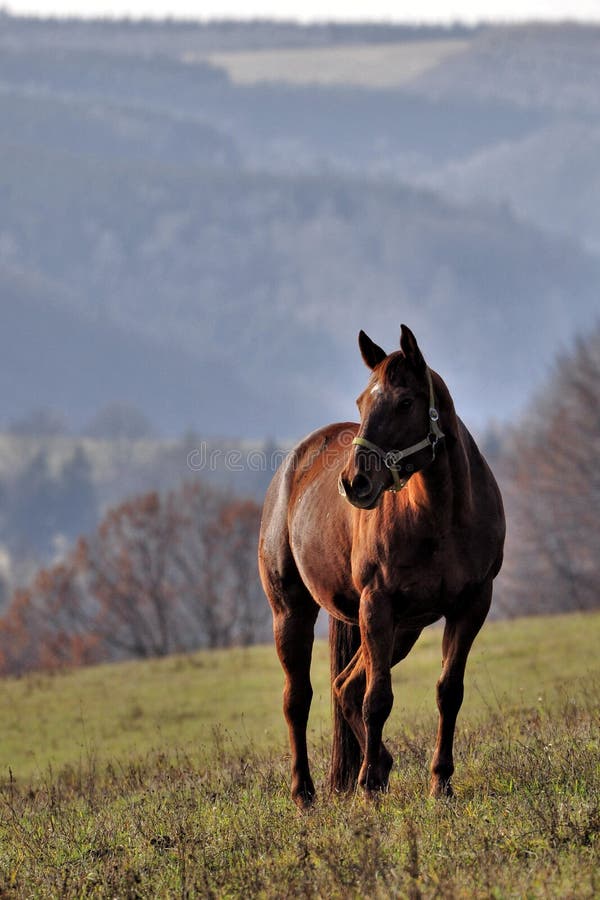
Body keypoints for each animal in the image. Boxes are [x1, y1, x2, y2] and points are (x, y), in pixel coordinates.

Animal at [258, 325, 505, 807]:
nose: (355, 483)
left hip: (405, 629)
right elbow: (379, 700)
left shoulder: (471, 606)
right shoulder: (377, 606)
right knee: (299, 698)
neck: (442, 517)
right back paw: (305, 792)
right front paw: (369, 785)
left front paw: (440, 782)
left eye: (405, 402)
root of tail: (292, 468)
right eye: (362, 402)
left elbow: (449, 692)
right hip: (293, 614)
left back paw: (379, 766)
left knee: (344, 686)